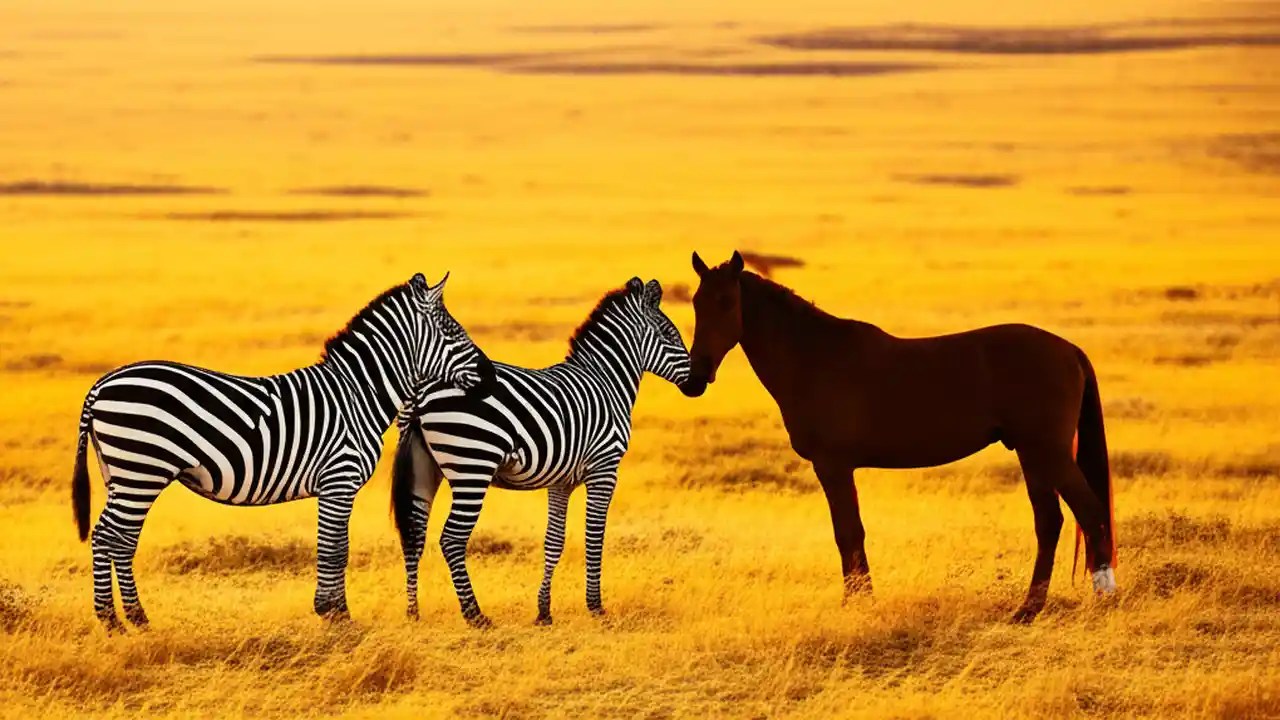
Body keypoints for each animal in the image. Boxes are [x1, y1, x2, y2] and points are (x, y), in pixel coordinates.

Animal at [70, 272, 495, 630]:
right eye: (454, 333)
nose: (491, 376)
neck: (357, 395)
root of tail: (101, 385)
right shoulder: (339, 479)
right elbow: (337, 549)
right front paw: (337, 615)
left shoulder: (332, 485)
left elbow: (333, 547)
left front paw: (331, 611)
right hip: (140, 470)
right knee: (109, 535)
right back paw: (113, 620)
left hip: (120, 473)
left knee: (118, 538)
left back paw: (133, 619)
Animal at [391, 277, 700, 627]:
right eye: (669, 334)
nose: (698, 383)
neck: (606, 382)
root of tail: (421, 389)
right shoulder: (605, 470)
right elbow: (595, 537)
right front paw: (595, 607)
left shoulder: (561, 481)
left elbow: (554, 541)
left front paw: (544, 611)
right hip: (472, 465)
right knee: (451, 539)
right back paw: (475, 615)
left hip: (425, 467)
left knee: (413, 535)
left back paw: (413, 613)